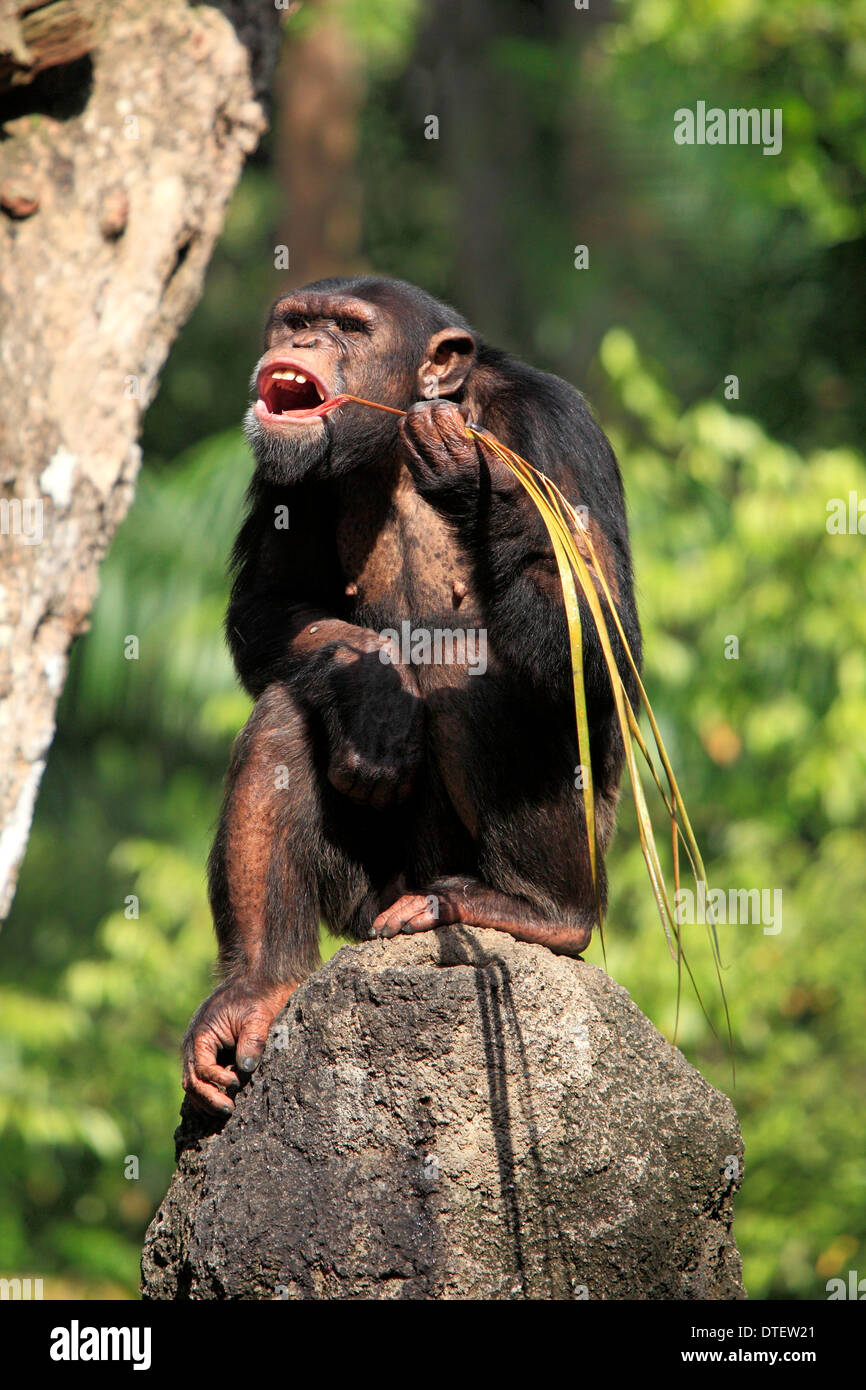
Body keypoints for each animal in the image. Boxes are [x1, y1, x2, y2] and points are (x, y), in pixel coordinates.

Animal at [182, 276, 641, 1114]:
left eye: (349, 329)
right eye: (297, 320)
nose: (303, 344)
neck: (395, 440)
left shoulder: (555, 427)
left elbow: (604, 637)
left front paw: (473, 484)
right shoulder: (281, 473)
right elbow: (270, 603)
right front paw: (374, 690)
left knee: (470, 667)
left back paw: (538, 913)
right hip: (370, 901)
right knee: (288, 710)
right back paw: (257, 989)